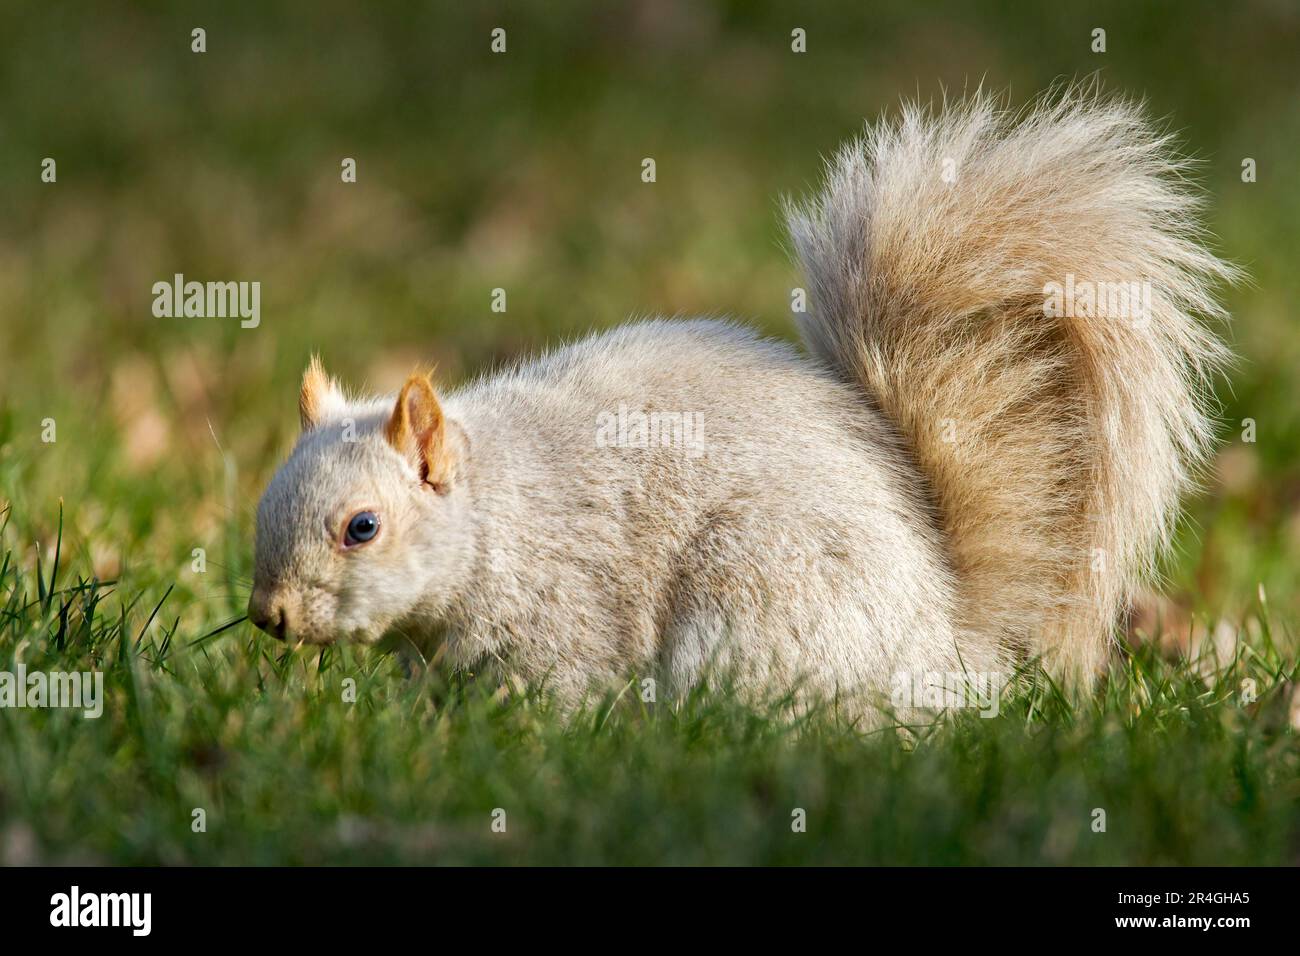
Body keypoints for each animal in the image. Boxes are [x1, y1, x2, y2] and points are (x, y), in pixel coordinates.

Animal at [249, 87, 1234, 717]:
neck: (501, 513)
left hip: (758, 594)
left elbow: (558, 689)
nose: (269, 618)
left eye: (363, 527)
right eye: (261, 505)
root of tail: (946, 643)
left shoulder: (567, 611)